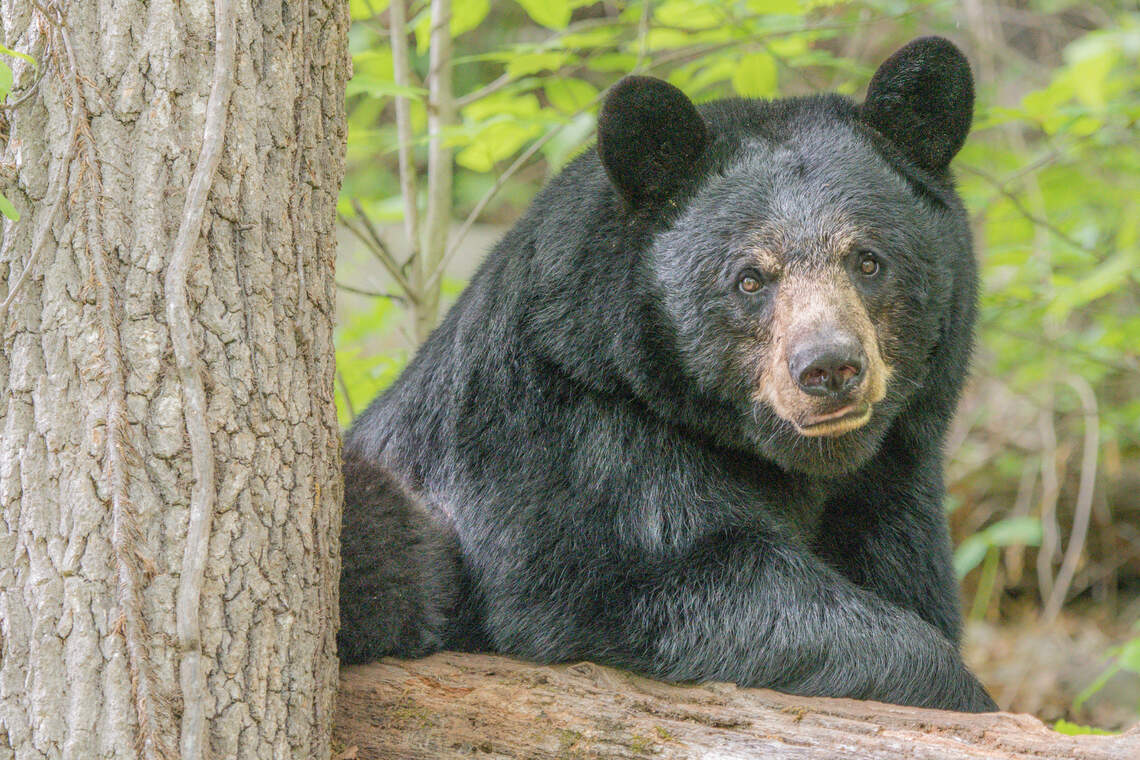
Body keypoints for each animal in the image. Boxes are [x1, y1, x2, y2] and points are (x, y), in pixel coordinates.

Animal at [338, 35, 998, 713]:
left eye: (867, 260)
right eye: (750, 279)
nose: (828, 367)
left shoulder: (892, 489)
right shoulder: (560, 448)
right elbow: (647, 583)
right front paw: (954, 686)